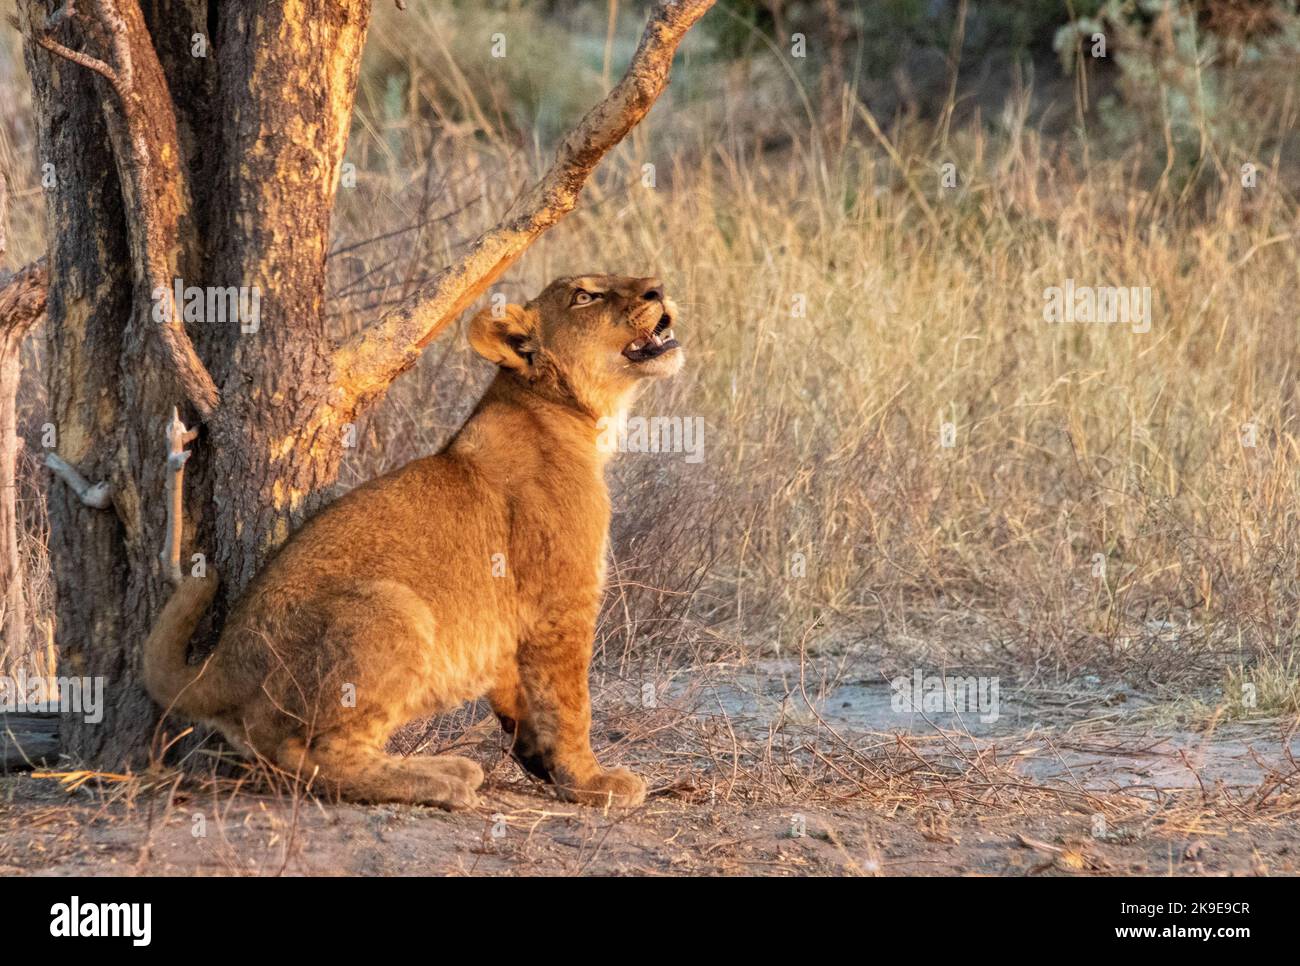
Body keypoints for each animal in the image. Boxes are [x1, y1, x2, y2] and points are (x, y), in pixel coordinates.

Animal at [142, 274, 683, 809]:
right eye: (586, 296)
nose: (658, 289)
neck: (574, 417)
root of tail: (223, 661)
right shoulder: (562, 604)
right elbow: (570, 705)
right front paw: (591, 781)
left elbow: (518, 692)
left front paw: (539, 760)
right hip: (393, 609)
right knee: (306, 753)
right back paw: (443, 780)